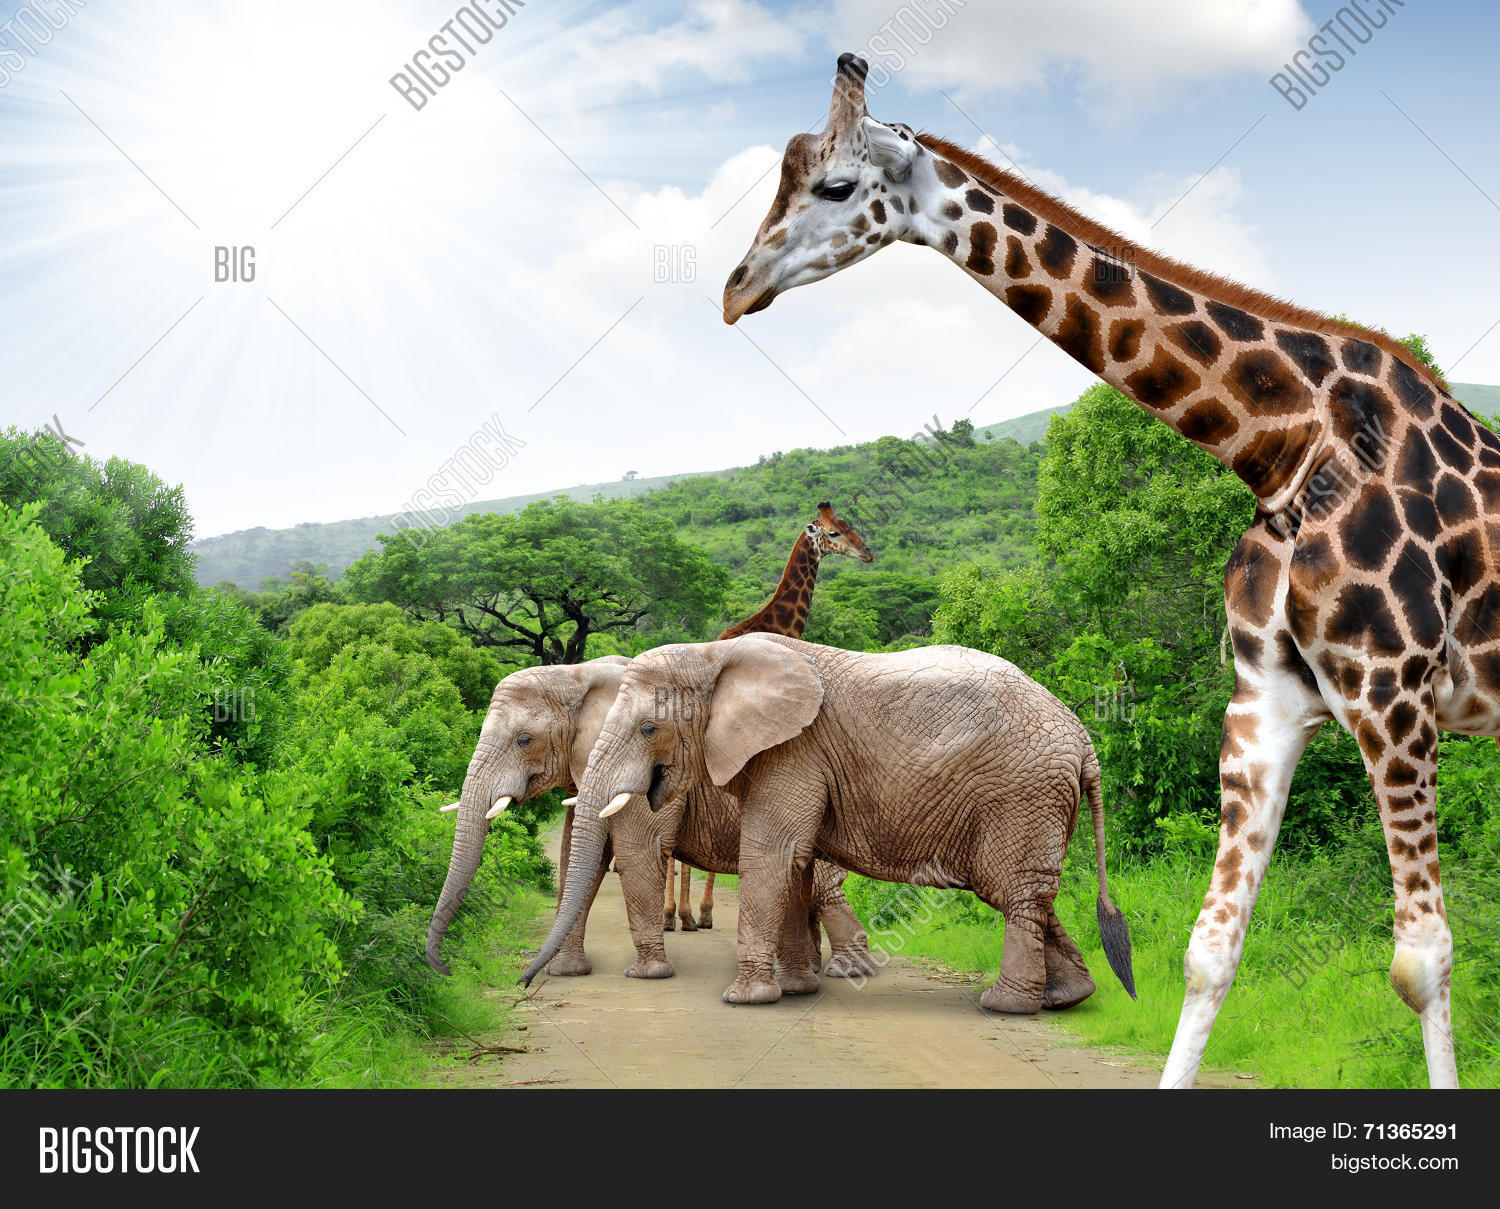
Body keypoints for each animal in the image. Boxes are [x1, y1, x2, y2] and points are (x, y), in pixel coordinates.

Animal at [424, 654, 877, 980]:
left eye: (523, 740)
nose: (446, 969)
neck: (577, 676)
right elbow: (576, 859)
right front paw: (567, 972)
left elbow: (634, 851)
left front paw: (648, 973)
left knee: (819, 887)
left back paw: (848, 971)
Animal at [521, 635, 1136, 1013]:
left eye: (649, 728)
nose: (524, 982)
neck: (716, 655)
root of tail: (1085, 740)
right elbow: (794, 859)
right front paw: (795, 990)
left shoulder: (793, 750)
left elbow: (771, 853)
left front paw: (744, 1001)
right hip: (1033, 801)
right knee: (1030, 894)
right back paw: (1066, 999)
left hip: (1020, 795)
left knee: (1015, 893)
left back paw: (1004, 1006)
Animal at [666, 501, 875, 942]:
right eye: (833, 533)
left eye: (847, 523)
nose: (868, 553)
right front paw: (705, 913)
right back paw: (683, 914)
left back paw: (674, 914)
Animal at [723, 54, 1495, 1089]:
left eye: (836, 186)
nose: (734, 291)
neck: (1283, 448)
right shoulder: (1268, 703)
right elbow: (1210, 950)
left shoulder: (1395, 697)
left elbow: (1423, 958)